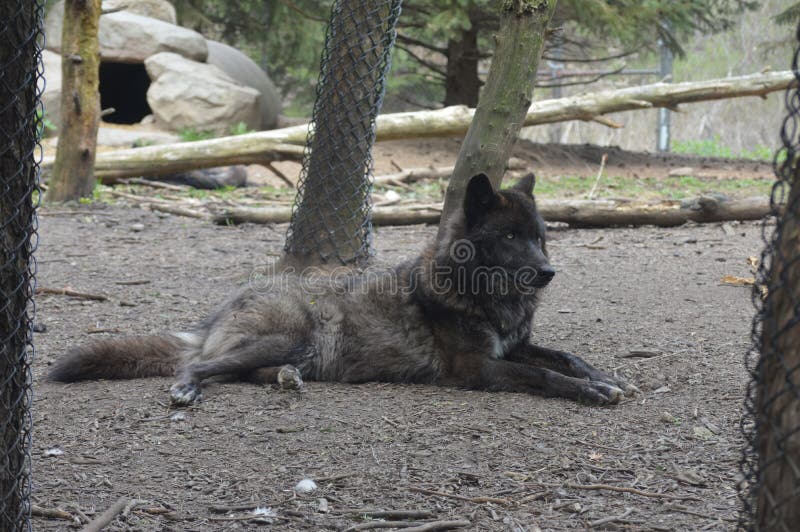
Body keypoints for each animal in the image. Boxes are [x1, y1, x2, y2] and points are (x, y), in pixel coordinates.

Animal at [49, 173, 636, 406]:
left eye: (540, 237)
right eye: (510, 237)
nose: (548, 272)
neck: (484, 297)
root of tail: (217, 312)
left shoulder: (515, 346)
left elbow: (565, 356)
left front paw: (607, 377)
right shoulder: (478, 368)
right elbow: (543, 374)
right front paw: (591, 392)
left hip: (301, 350)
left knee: (240, 372)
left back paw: (283, 380)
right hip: (289, 336)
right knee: (198, 366)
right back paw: (189, 388)